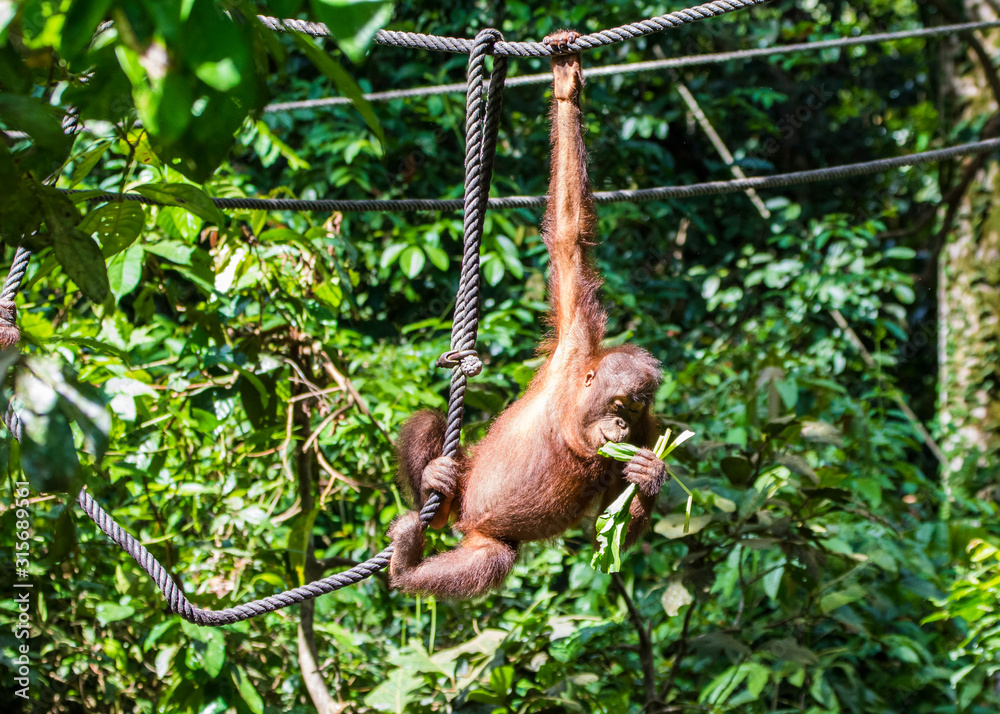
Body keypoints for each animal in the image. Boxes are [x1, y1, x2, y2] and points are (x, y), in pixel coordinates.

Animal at [387, 30, 667, 599]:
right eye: (619, 404)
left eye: (633, 414)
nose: (620, 426)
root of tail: (464, 518)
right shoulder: (575, 339)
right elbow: (569, 231)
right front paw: (565, 82)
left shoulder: (649, 432)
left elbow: (612, 522)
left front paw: (650, 476)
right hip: (466, 484)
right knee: (430, 429)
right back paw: (431, 496)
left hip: (484, 537)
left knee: (492, 557)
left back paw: (411, 563)